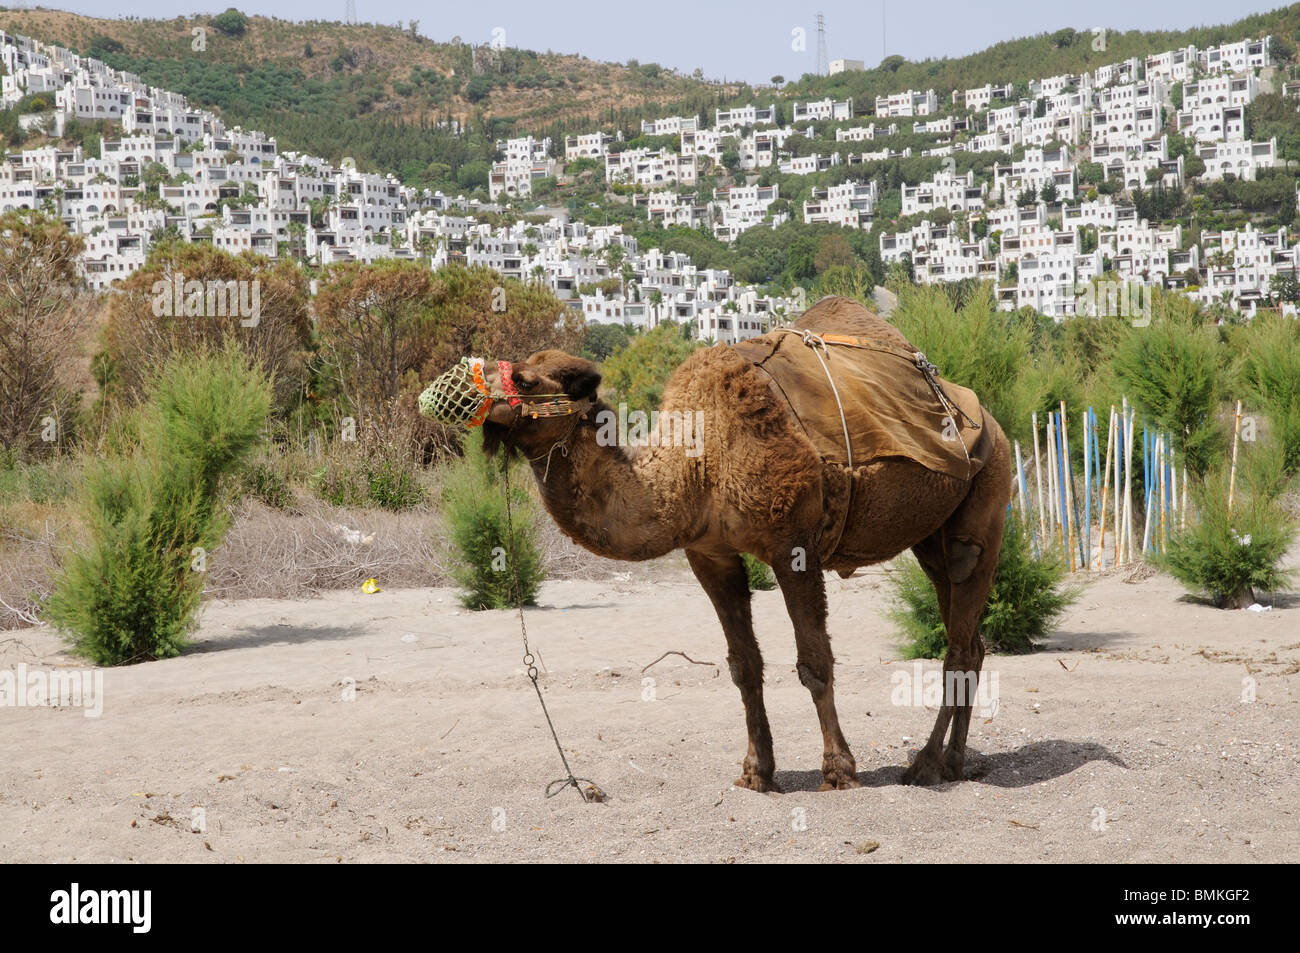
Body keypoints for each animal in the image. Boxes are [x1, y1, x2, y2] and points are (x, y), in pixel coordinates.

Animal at [446, 296, 1011, 791]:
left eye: (522, 379)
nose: (461, 388)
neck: (696, 464)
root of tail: (987, 419)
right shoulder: (709, 553)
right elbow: (743, 666)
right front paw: (757, 773)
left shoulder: (792, 545)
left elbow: (814, 661)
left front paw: (838, 771)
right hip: (932, 540)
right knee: (970, 638)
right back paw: (954, 761)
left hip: (989, 492)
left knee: (960, 637)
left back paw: (928, 765)